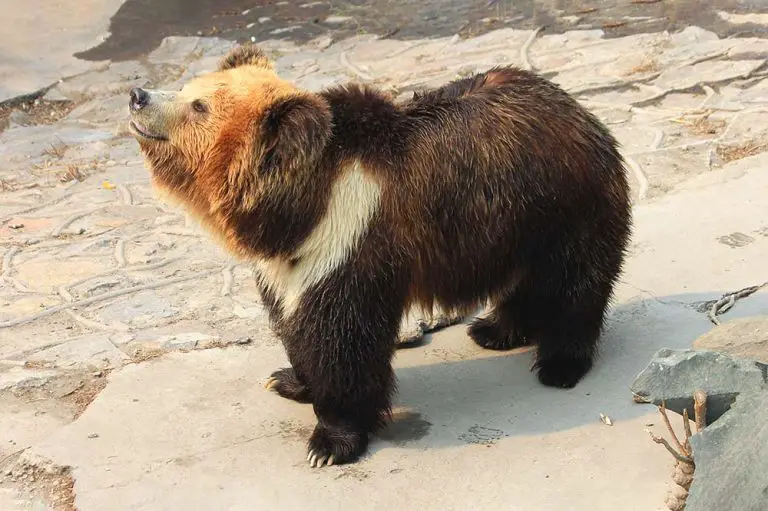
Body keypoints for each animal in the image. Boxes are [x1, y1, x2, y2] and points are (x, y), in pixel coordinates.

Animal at [127, 44, 633, 468]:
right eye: (189, 87)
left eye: (199, 105)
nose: (137, 95)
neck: (301, 208)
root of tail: (576, 107)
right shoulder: (290, 262)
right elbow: (292, 322)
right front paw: (287, 379)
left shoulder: (352, 239)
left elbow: (342, 338)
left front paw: (329, 442)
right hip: (515, 225)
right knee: (523, 282)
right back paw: (493, 330)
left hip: (565, 205)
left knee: (573, 286)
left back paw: (559, 364)